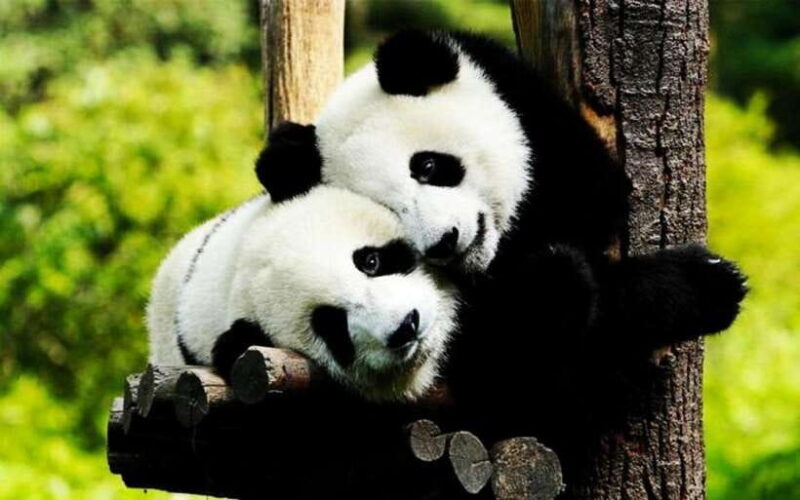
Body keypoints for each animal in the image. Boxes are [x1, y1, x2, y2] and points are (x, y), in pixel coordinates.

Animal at [252, 30, 748, 448]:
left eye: (427, 166)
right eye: (389, 212)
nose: (445, 241)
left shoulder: (533, 116)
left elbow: (595, 198)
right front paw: (703, 286)